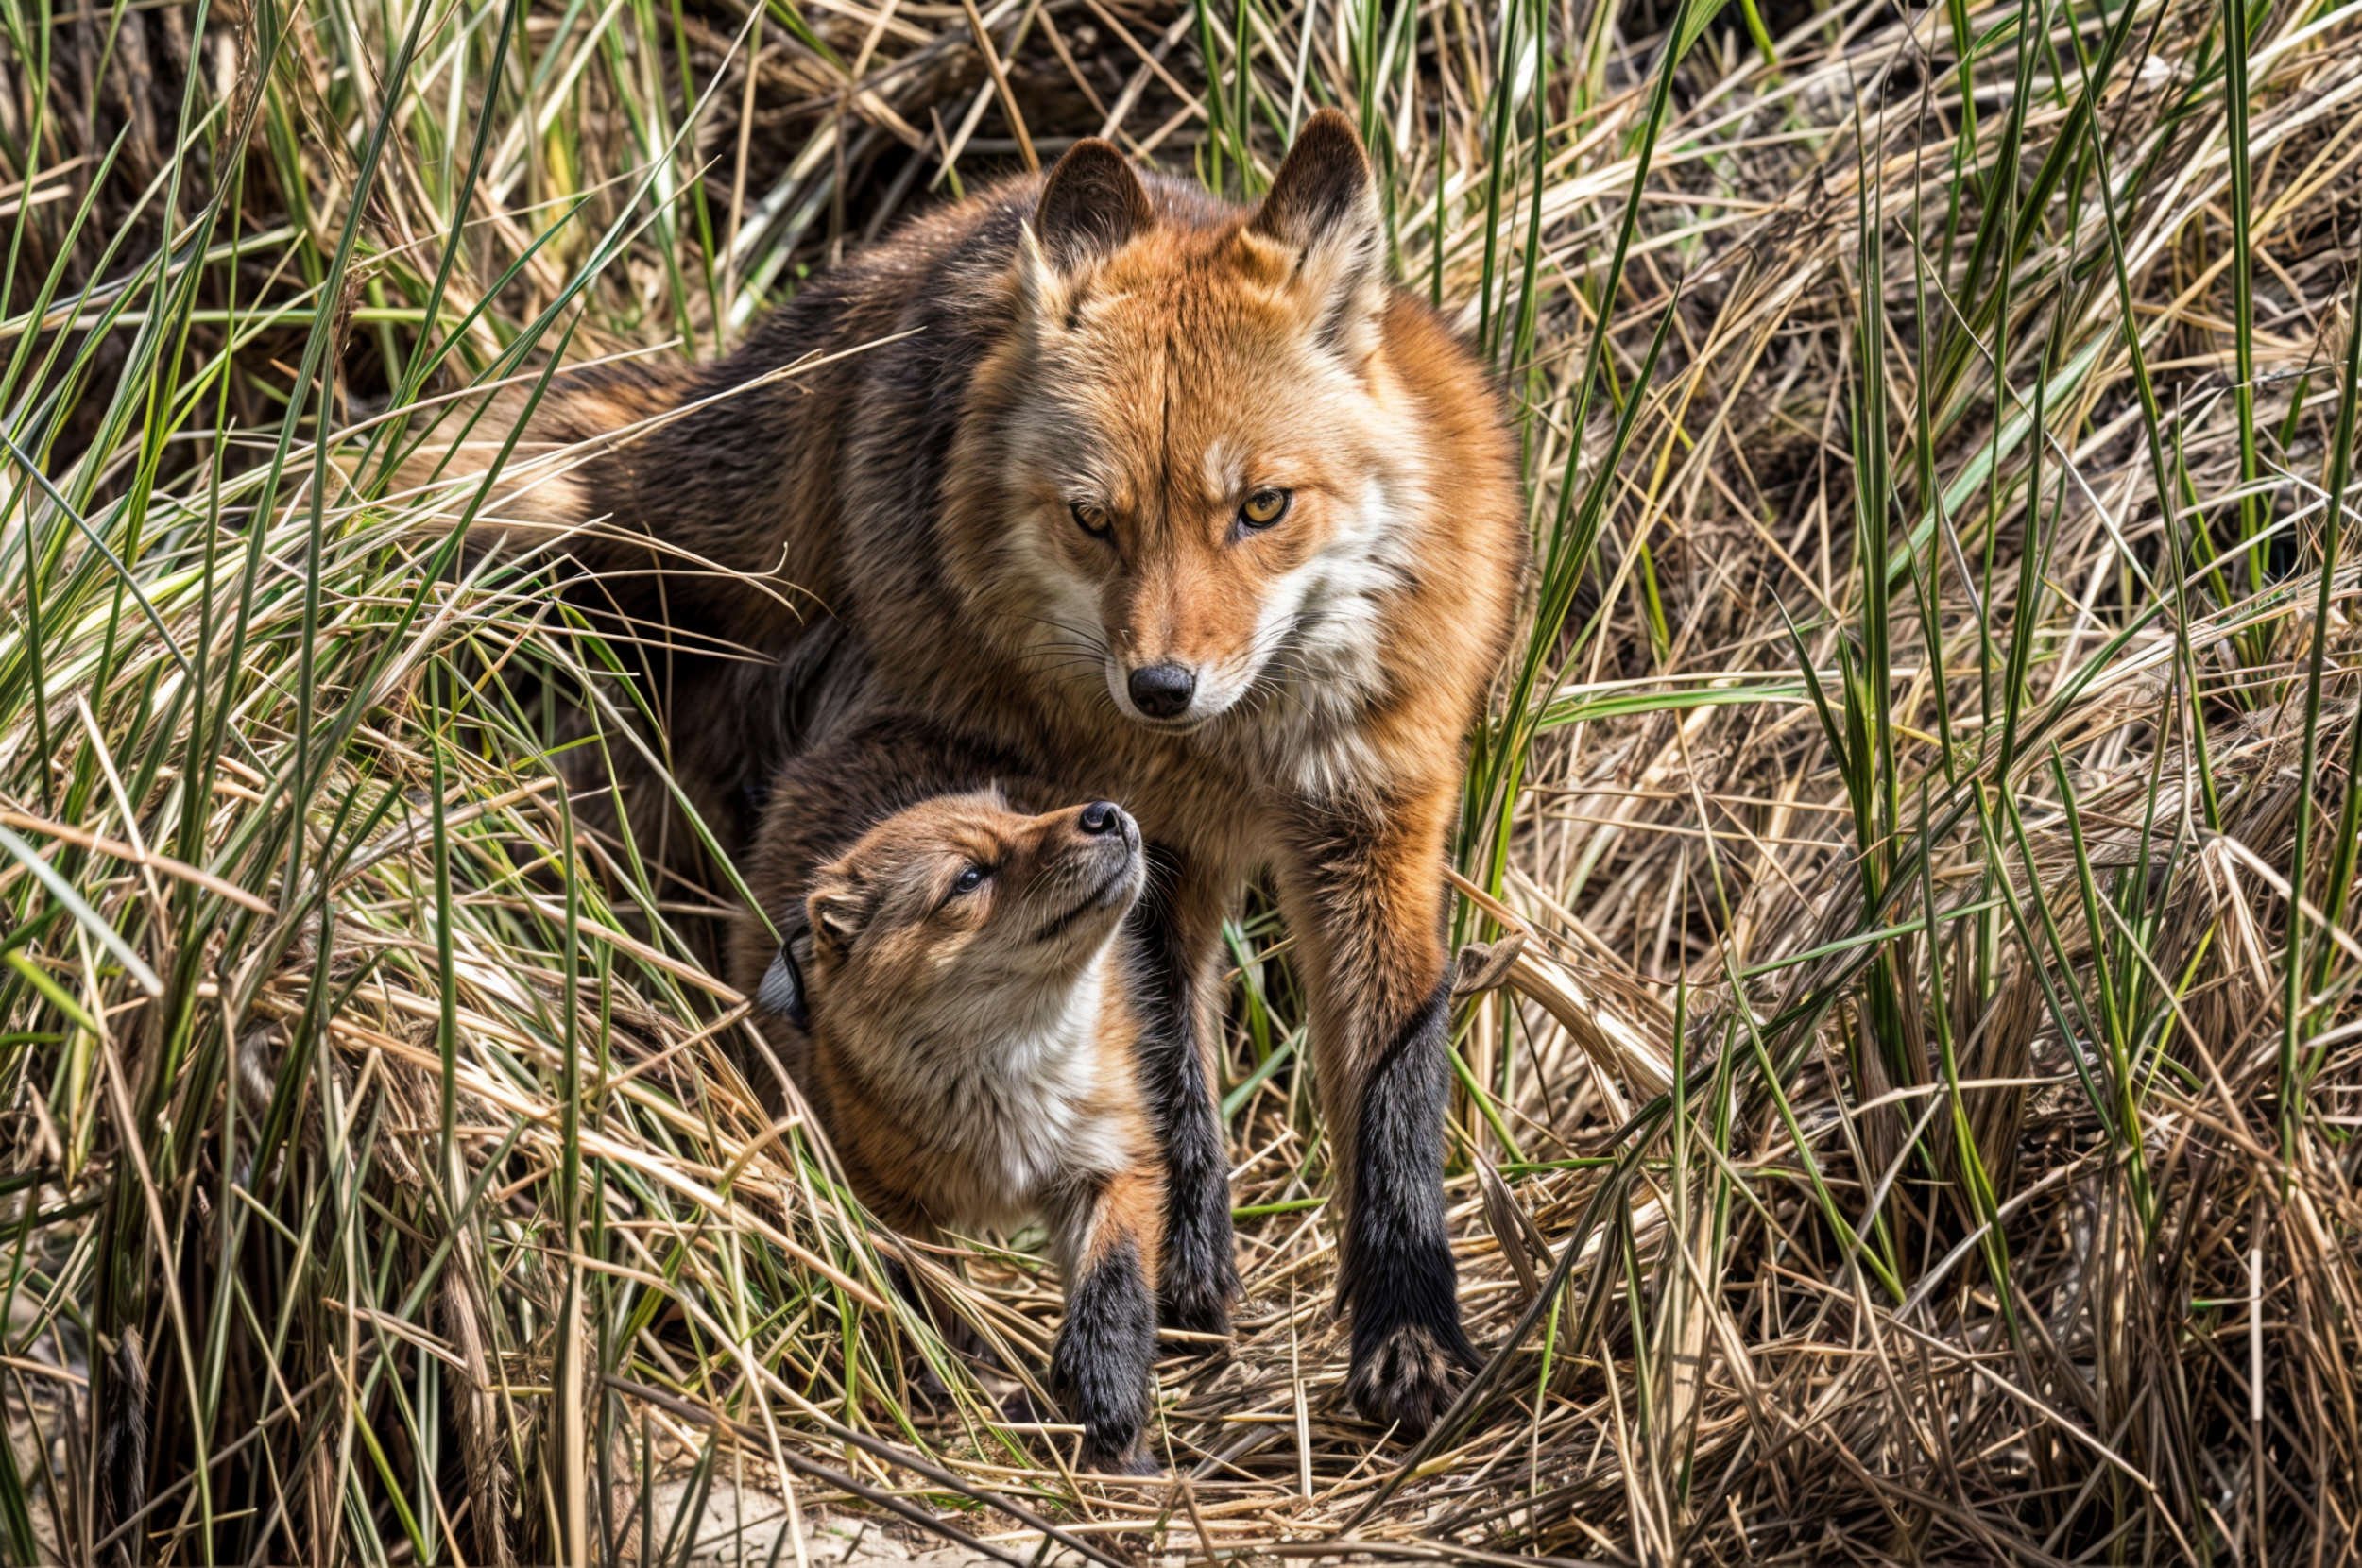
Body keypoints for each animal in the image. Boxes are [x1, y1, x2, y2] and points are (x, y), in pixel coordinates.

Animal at [414, 110, 1527, 1433]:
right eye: (1095, 520)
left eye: (1262, 507)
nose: (1159, 688)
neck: (1241, 753)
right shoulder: (1133, 830)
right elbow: (1166, 1076)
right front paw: (1179, 1283)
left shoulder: (1374, 824)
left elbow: (1395, 1094)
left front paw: (1410, 1335)